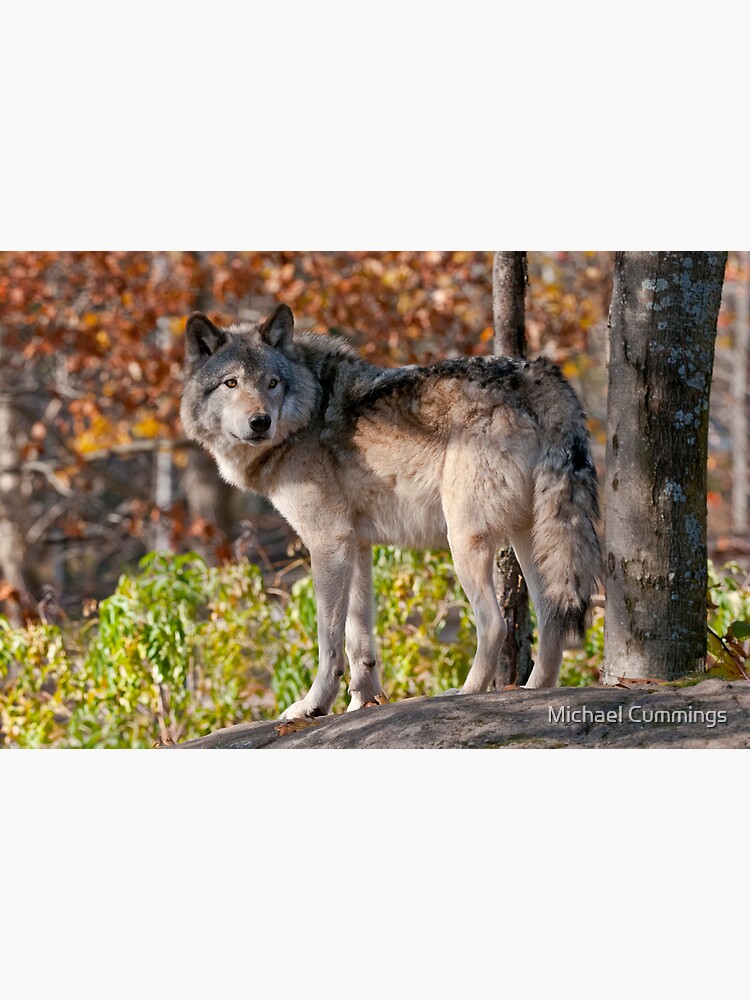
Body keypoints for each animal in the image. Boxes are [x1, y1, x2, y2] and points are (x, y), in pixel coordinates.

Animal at [180, 304, 602, 720]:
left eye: (272, 383)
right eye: (231, 383)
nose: (260, 422)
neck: (310, 409)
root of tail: (539, 374)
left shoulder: (328, 542)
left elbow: (328, 640)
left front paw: (314, 705)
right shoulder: (356, 545)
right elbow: (358, 638)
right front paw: (361, 703)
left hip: (464, 539)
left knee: (494, 625)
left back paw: (465, 693)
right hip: (531, 540)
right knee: (552, 619)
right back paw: (534, 691)